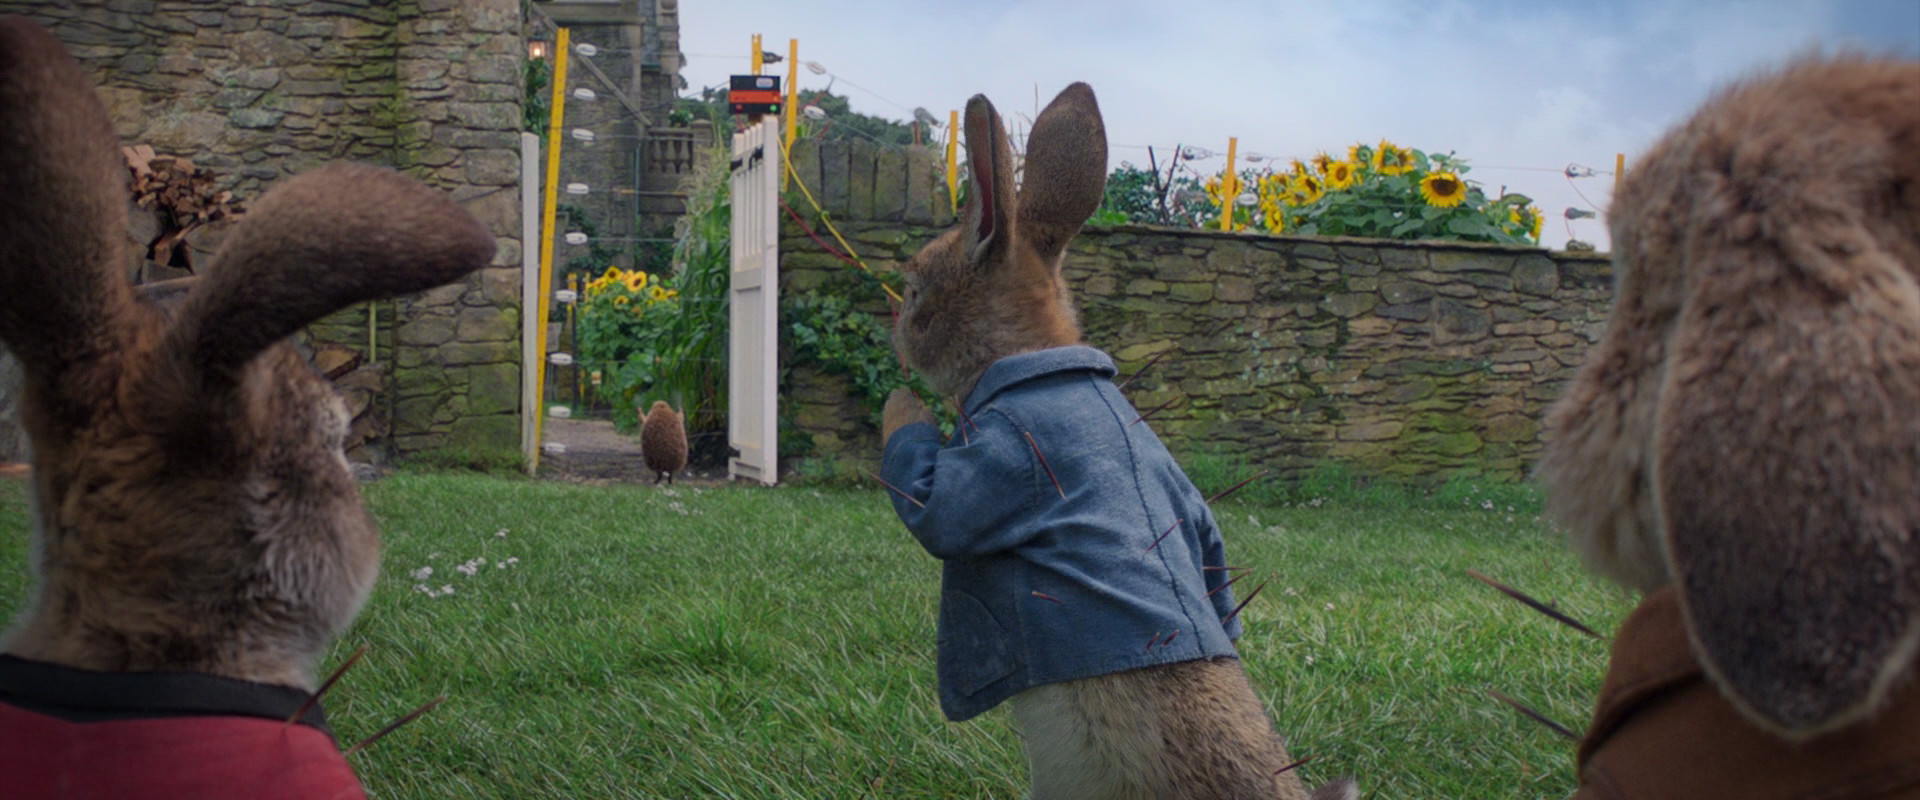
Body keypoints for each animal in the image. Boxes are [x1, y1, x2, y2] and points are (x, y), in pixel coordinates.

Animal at [878, 82, 1355, 800]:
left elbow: (937, 510)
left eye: (913, 292)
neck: (1034, 359)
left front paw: (898, 401)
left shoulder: (999, 465)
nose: (897, 340)